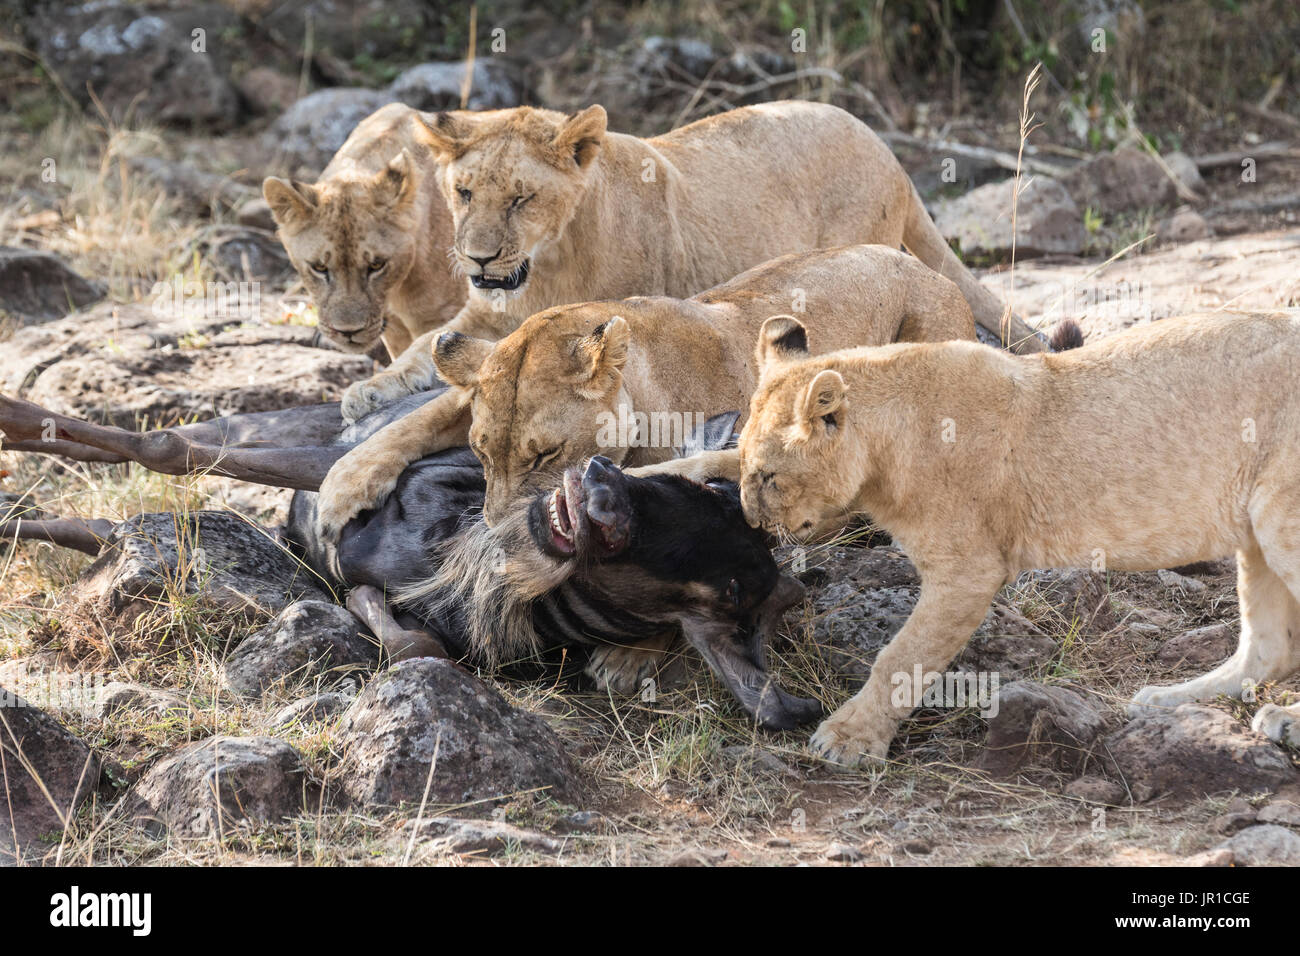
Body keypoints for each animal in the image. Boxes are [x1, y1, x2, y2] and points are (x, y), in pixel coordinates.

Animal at [737, 310, 1300, 766]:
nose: (752, 524)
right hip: (1257, 530)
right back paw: (1170, 699)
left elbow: (902, 655)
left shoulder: (968, 569)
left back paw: (1283, 722)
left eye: (767, 476)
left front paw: (848, 738)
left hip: (1280, 516)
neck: (885, 444)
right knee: (1269, 648)